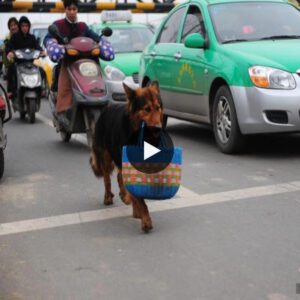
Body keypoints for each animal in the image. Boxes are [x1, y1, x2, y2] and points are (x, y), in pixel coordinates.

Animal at [89, 81, 163, 233]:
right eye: (147, 109)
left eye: (158, 108)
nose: (159, 129)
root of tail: (107, 107)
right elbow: (139, 199)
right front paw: (146, 219)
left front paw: (138, 211)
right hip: (106, 158)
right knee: (107, 179)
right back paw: (108, 197)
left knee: (119, 177)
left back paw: (127, 199)